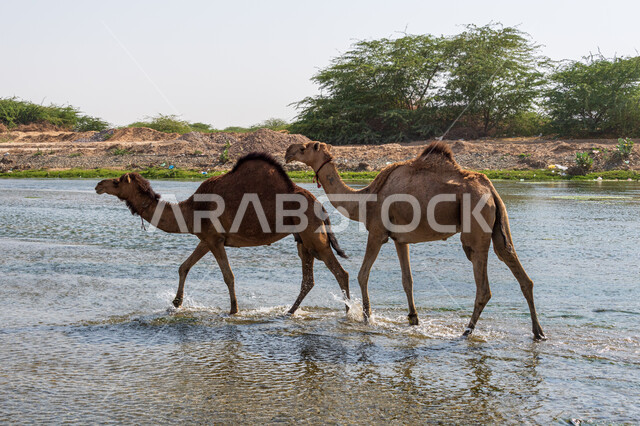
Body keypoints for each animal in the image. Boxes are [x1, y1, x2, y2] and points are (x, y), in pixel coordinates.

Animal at [95, 152, 350, 315]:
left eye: (117, 182)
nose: (99, 185)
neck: (189, 210)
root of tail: (321, 207)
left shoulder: (214, 239)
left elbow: (228, 275)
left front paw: (234, 310)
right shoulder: (207, 239)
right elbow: (184, 267)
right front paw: (176, 303)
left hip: (314, 236)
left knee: (340, 272)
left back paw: (349, 312)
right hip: (302, 240)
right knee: (308, 280)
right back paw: (289, 311)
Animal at [285, 141, 545, 340]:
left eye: (304, 147)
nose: (287, 151)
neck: (365, 199)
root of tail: (491, 190)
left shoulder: (377, 232)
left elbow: (363, 274)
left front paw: (367, 317)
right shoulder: (401, 239)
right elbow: (407, 280)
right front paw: (413, 318)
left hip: (475, 226)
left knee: (483, 286)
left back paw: (467, 330)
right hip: (499, 224)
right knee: (518, 269)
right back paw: (538, 332)